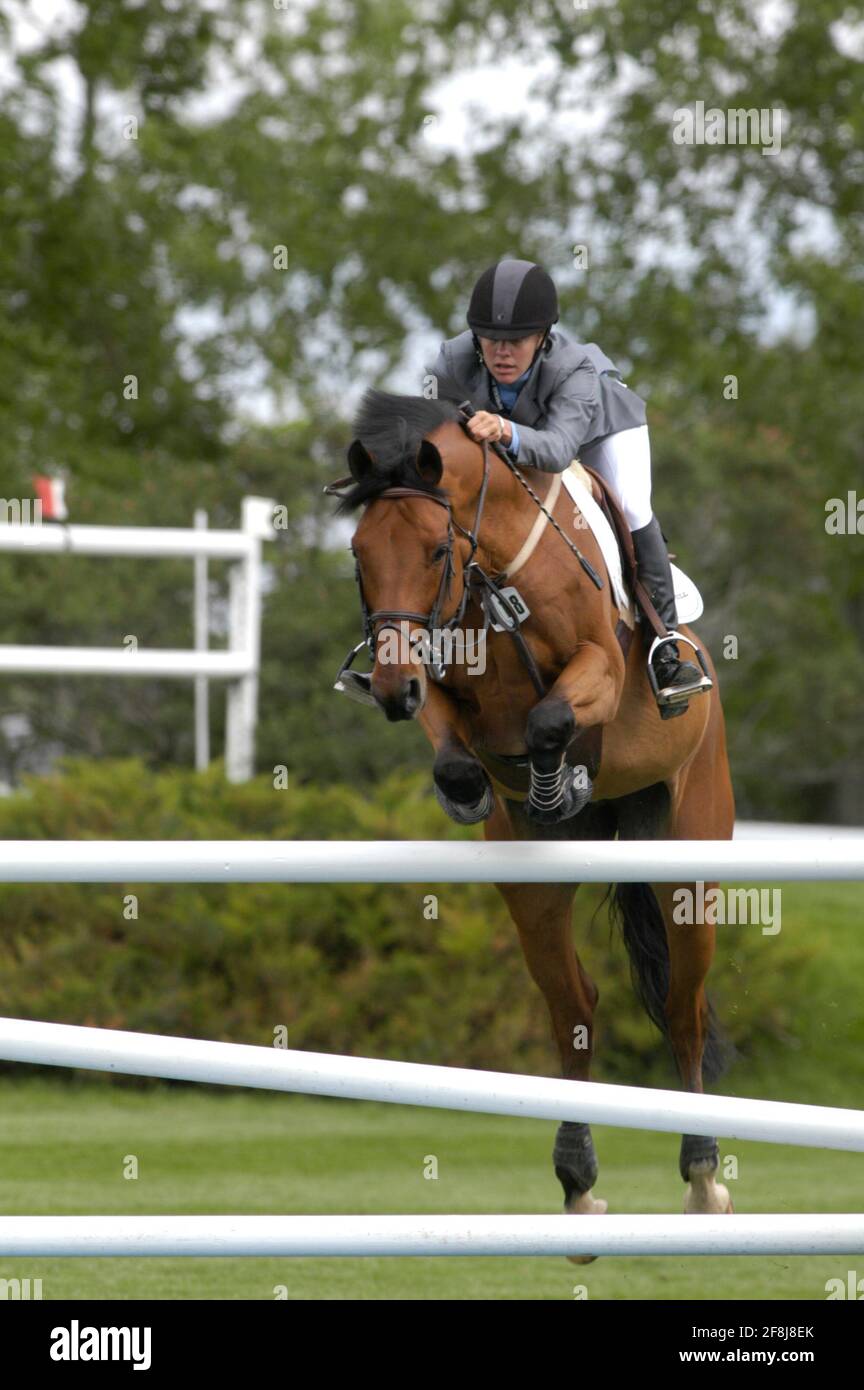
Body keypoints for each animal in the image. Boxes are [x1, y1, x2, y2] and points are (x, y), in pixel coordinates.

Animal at [327, 379, 736, 1255]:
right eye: (359, 557)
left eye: (434, 552)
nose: (390, 691)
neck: (490, 567)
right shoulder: (444, 685)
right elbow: (457, 749)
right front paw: (480, 789)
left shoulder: (598, 667)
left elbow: (552, 716)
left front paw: (557, 778)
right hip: (536, 895)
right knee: (574, 1007)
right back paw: (577, 1187)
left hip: (686, 857)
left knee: (683, 1008)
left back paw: (702, 1179)